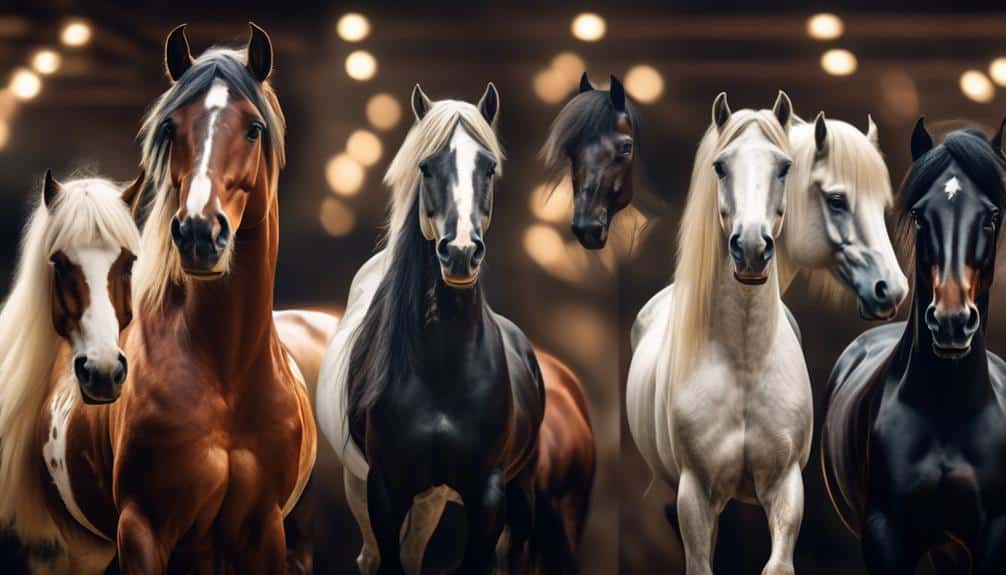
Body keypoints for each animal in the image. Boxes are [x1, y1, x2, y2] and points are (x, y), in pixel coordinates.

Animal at [316, 84, 547, 574]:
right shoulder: (385, 488)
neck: (443, 369)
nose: (459, 253)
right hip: (363, 484)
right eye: (426, 166)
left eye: (488, 167)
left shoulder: (487, 493)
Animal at [626, 92, 811, 575]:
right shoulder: (694, 493)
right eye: (721, 166)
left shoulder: (786, 484)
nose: (751, 248)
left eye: (784, 166)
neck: (743, 362)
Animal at [821, 119, 1006, 574]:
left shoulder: (994, 535)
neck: (946, 411)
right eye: (922, 216)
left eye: (992, 216)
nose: (952, 321)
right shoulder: (885, 536)